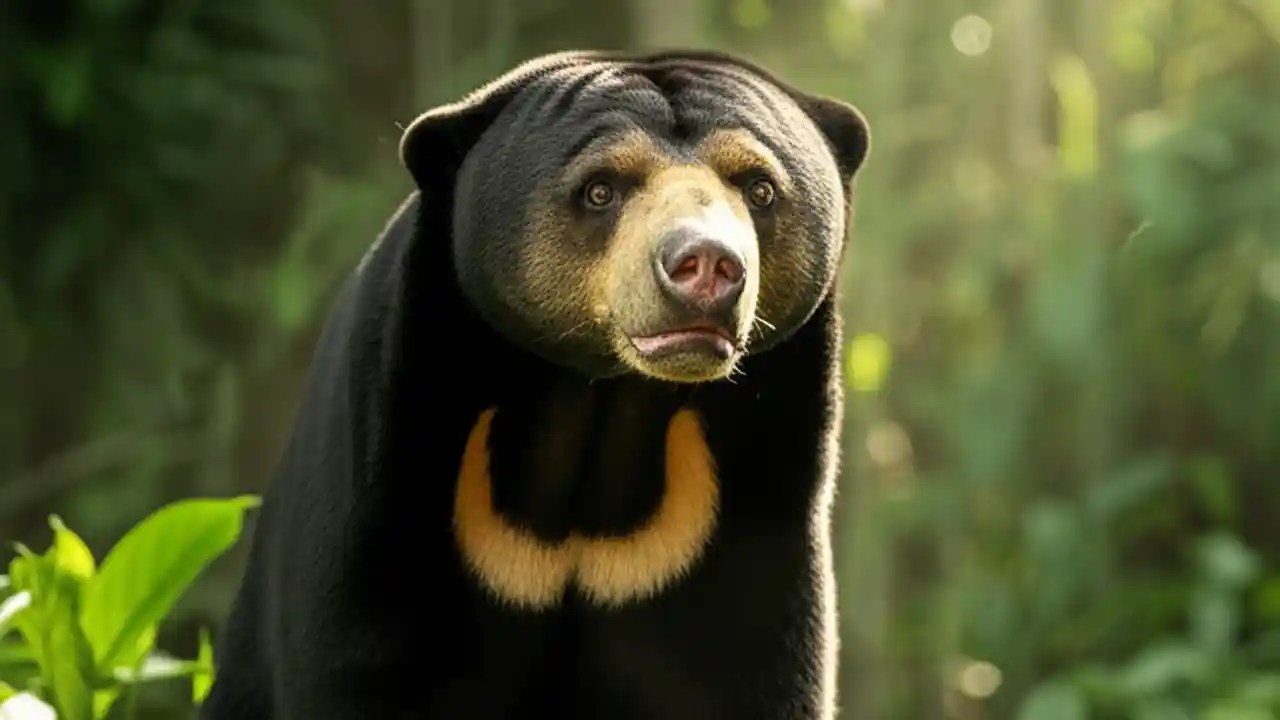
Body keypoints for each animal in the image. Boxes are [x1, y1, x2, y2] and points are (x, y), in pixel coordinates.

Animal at [198, 48, 870, 720]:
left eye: (758, 187)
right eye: (600, 189)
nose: (705, 266)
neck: (601, 399)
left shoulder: (745, 508)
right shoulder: (384, 488)